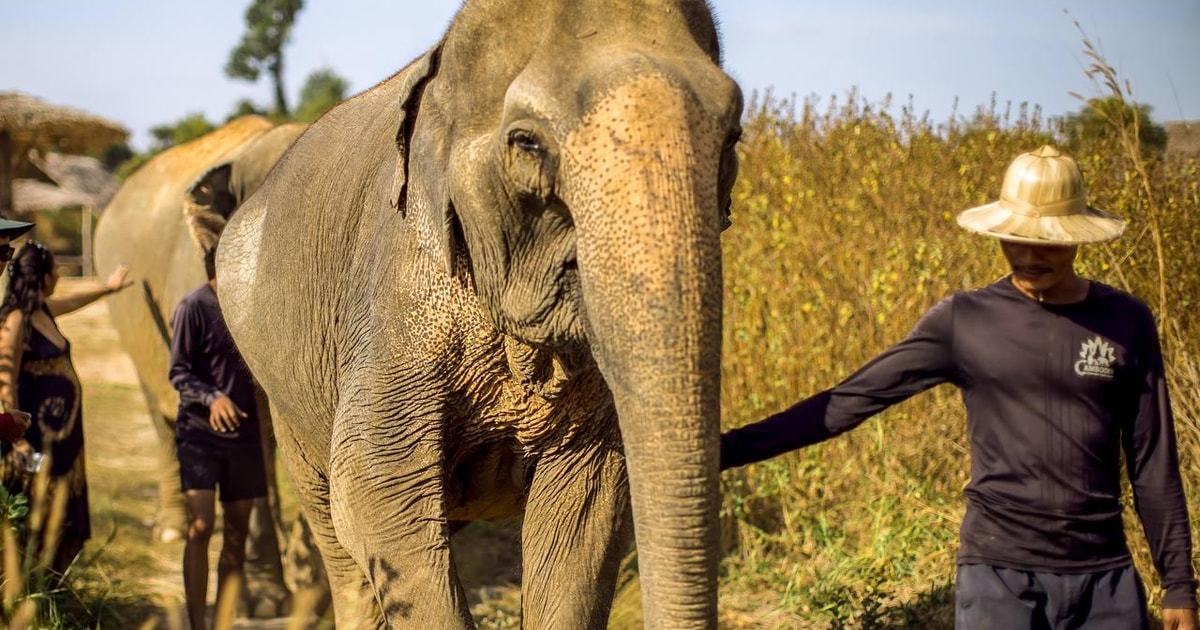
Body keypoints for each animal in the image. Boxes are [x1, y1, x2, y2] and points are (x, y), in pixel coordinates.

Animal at [217, 1, 743, 628]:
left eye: (734, 136)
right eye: (527, 143)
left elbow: (585, 508)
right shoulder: (393, 299)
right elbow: (376, 491)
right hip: (287, 399)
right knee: (340, 547)